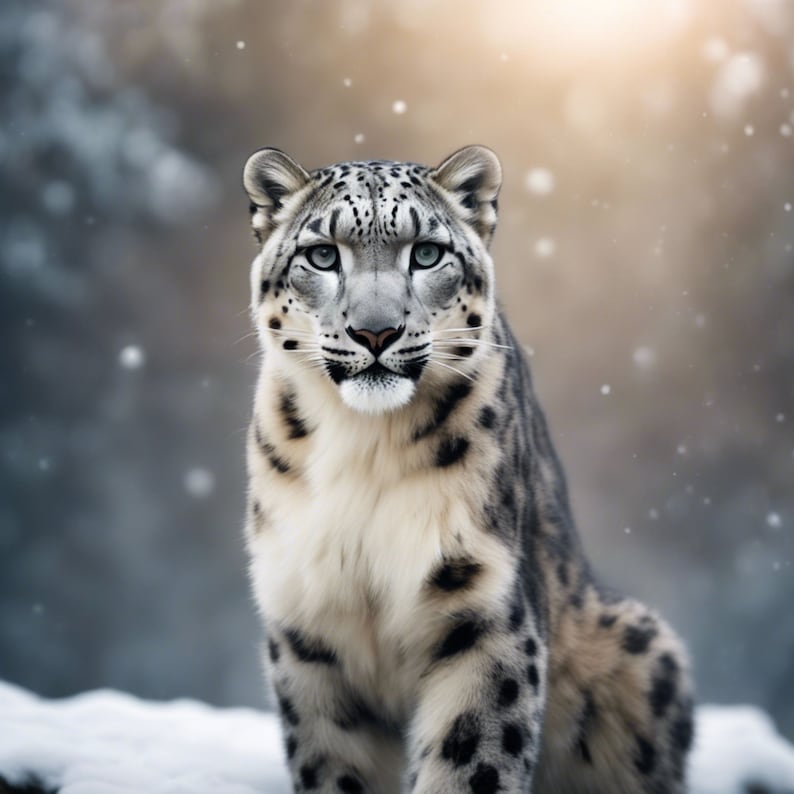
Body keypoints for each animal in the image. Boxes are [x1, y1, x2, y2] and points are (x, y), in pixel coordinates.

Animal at [241, 144, 694, 794]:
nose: (375, 331)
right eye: (322, 254)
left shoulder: (482, 611)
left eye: (426, 252)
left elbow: (472, 757)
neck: (363, 443)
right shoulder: (309, 625)